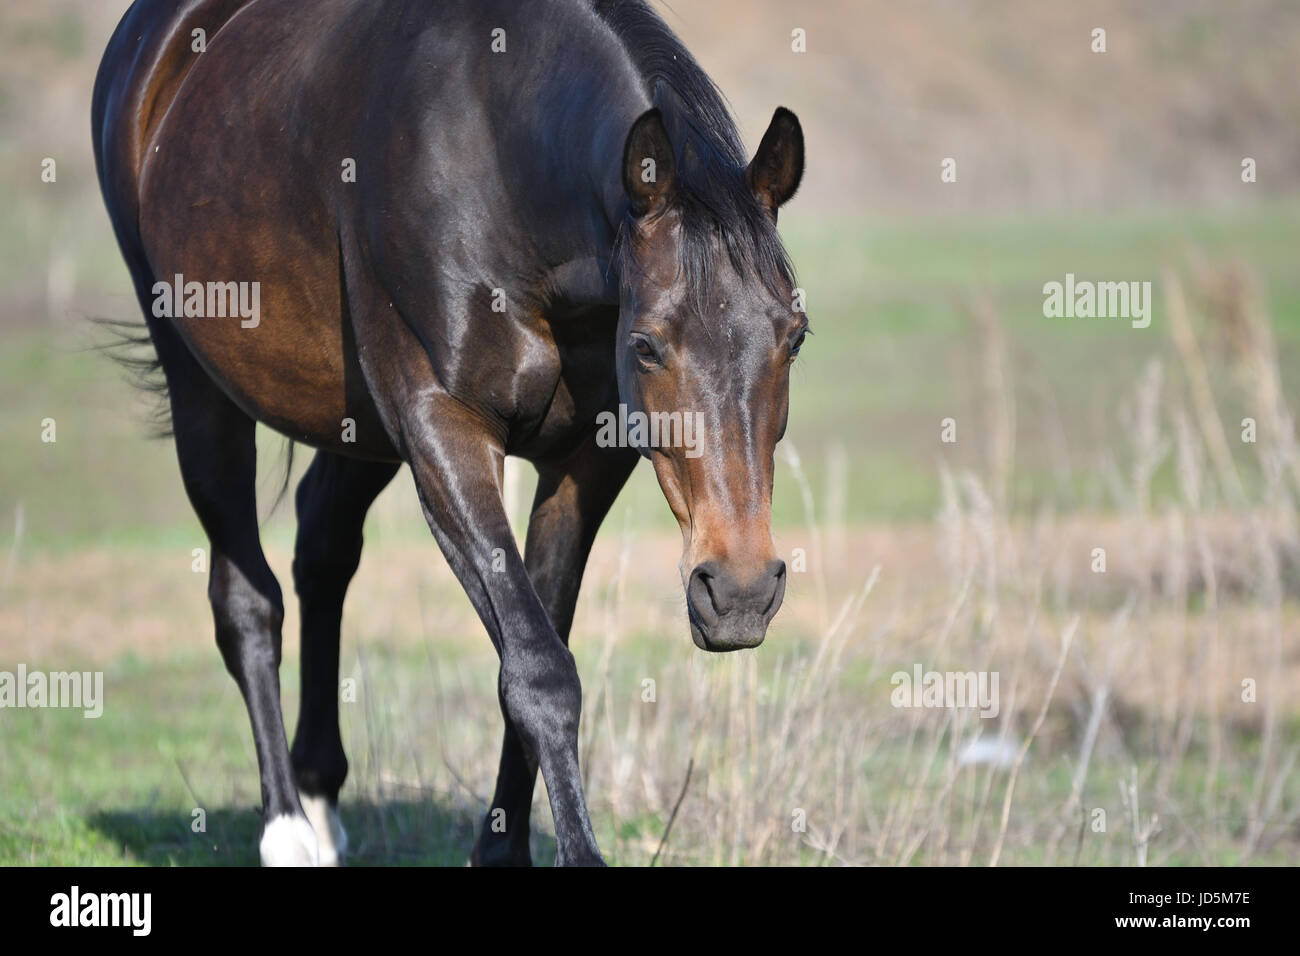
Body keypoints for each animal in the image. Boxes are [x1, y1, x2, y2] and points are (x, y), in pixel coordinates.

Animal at [92, 0, 806, 866]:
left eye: (794, 337)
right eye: (646, 345)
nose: (738, 592)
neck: (497, 160)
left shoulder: (585, 460)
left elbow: (533, 648)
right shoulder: (443, 428)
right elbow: (538, 672)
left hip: (358, 418)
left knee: (323, 546)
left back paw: (320, 795)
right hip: (204, 390)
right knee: (245, 603)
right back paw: (287, 828)